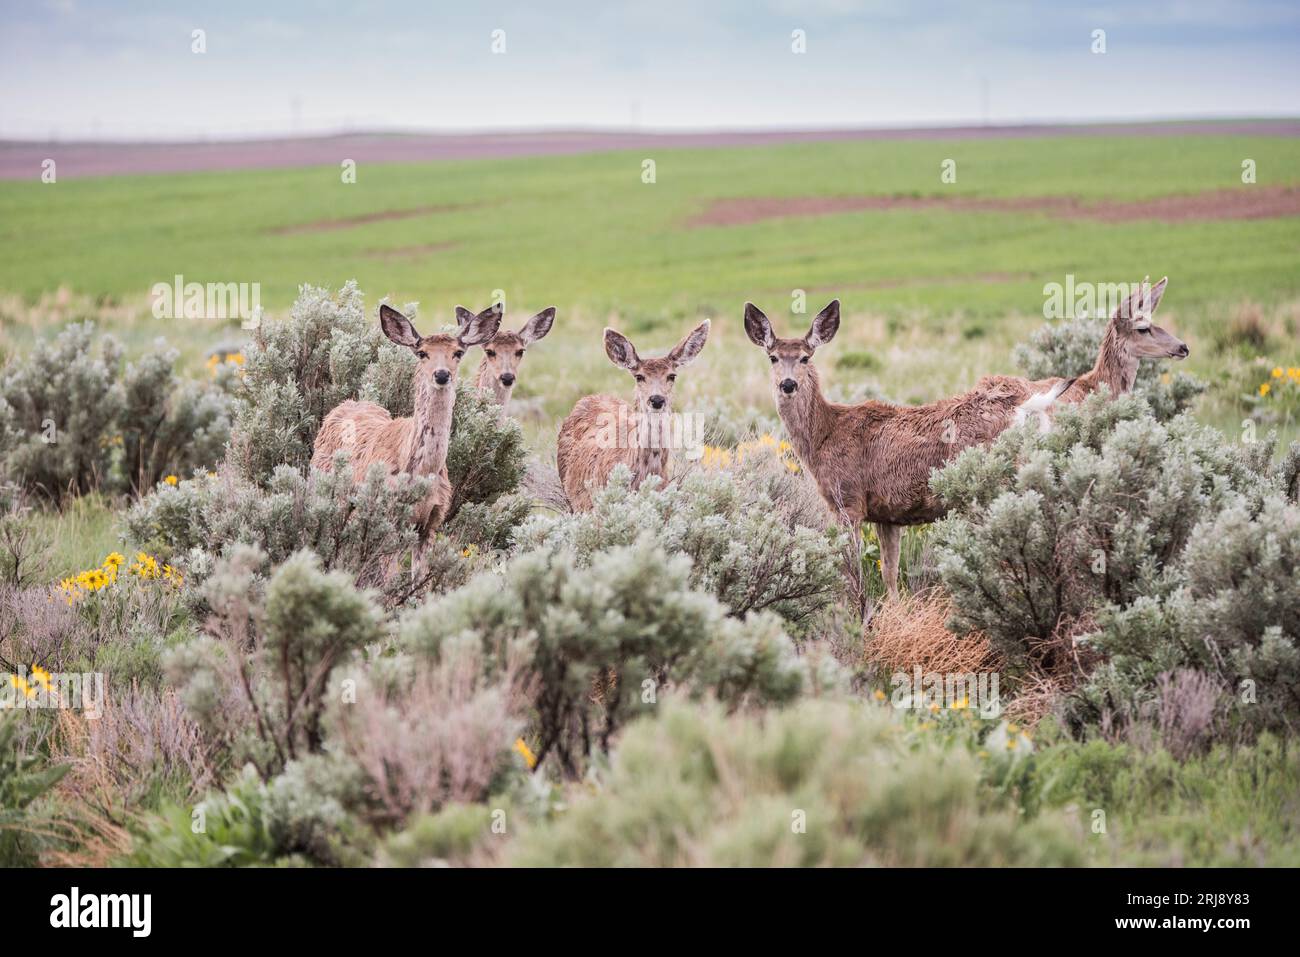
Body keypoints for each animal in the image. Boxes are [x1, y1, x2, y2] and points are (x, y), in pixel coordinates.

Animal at [311, 302, 500, 554]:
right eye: (422, 353)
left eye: (458, 353)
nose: (442, 374)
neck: (420, 472)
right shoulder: (388, 516)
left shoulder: (432, 521)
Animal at [744, 299, 1074, 602]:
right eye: (773, 357)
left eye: (804, 357)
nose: (788, 384)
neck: (824, 434)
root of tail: (1025, 404)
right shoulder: (887, 515)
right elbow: (889, 574)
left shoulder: (848, 501)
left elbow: (851, 574)